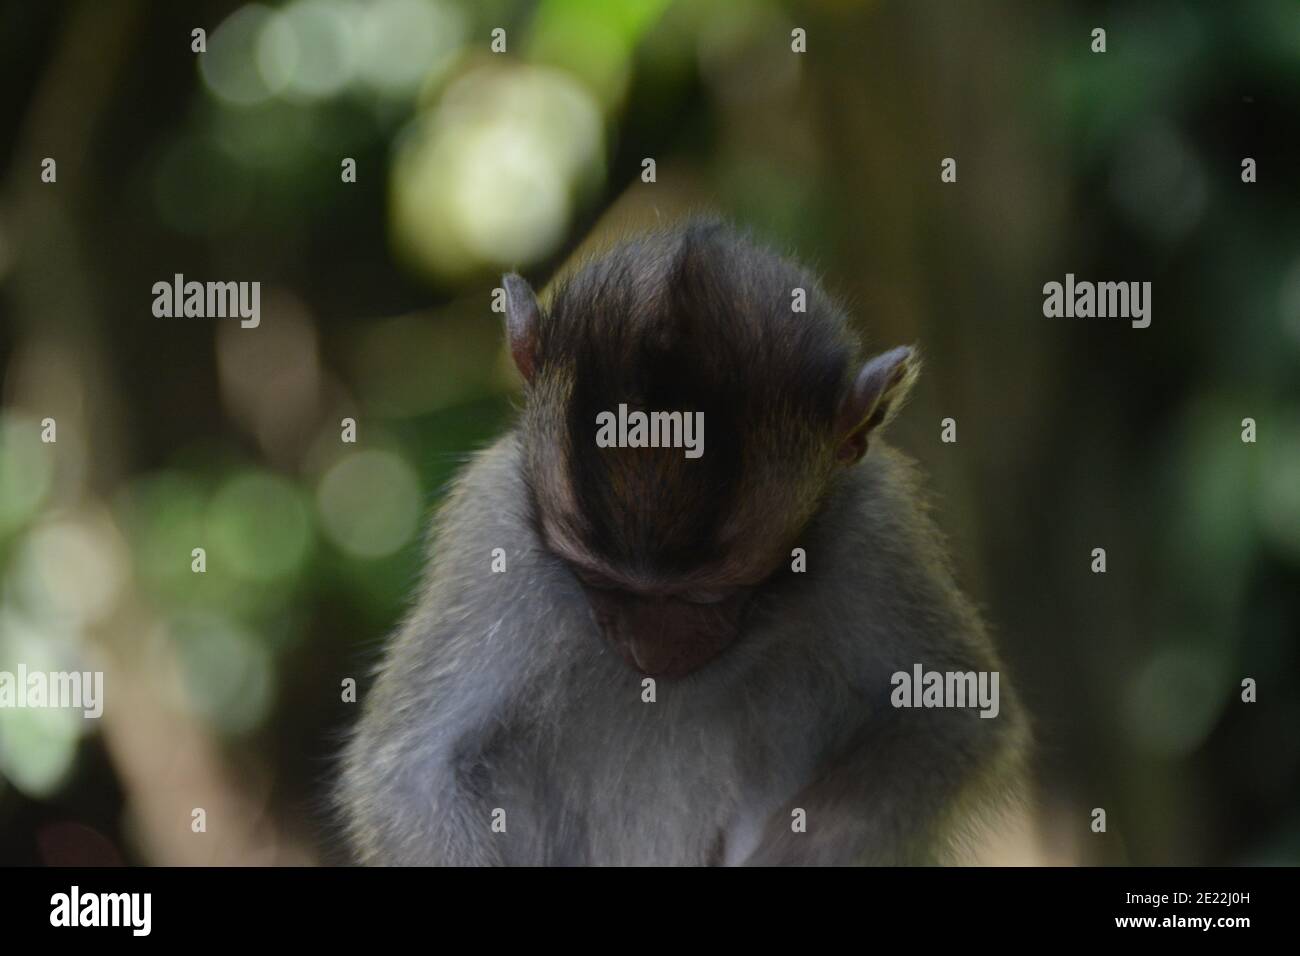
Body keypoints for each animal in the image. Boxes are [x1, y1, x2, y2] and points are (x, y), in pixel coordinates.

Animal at [337, 218, 1029, 866]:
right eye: (598, 581)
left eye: (713, 595)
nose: (652, 653)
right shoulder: (493, 528)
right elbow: (412, 773)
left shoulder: (876, 533)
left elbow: (950, 719)